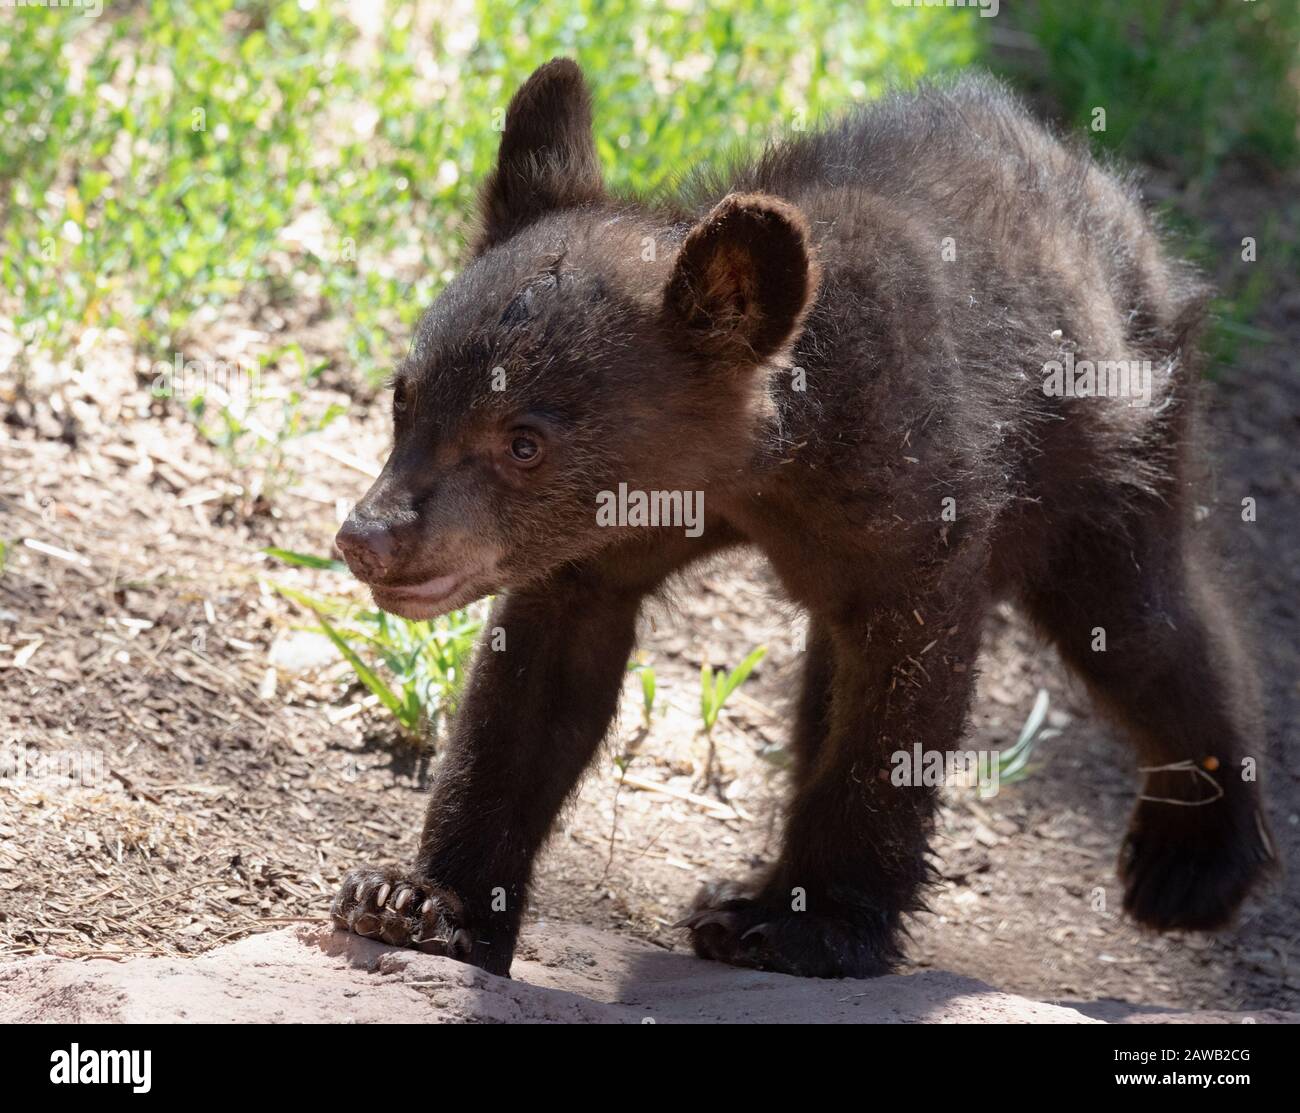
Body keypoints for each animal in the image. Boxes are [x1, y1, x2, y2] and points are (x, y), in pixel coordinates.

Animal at [328, 58, 1275, 978]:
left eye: (524, 441)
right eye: (405, 399)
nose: (368, 538)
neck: (751, 472)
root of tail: (1105, 188)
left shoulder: (912, 509)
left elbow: (897, 705)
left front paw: (813, 926)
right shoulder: (599, 547)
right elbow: (530, 693)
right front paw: (422, 901)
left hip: (1104, 451)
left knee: (1143, 626)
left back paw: (1194, 858)